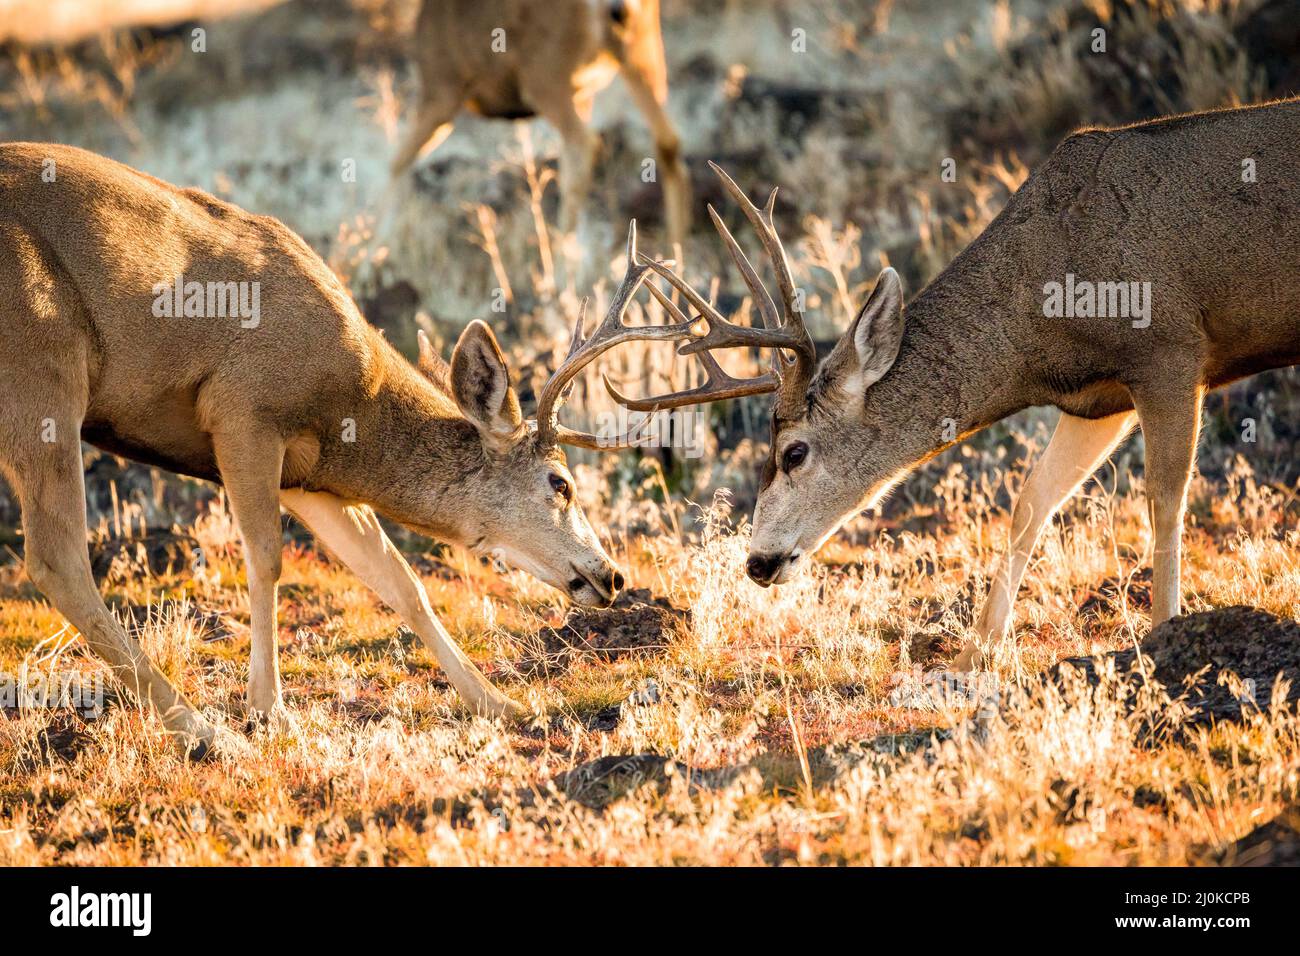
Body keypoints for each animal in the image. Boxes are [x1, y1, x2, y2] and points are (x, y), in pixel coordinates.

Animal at [0, 141, 696, 757]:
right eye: (560, 482)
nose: (612, 575)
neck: (354, 399)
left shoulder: (310, 477)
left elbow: (400, 580)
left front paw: (502, 704)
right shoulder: (242, 409)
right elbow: (268, 560)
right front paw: (269, 712)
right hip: (41, 370)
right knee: (57, 559)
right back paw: (204, 732)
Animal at [389, 0, 691, 249]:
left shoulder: (441, 88)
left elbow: (397, 165)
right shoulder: (584, 95)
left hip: (545, 77)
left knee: (583, 147)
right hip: (641, 52)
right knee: (668, 141)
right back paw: (675, 258)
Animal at [601, 98, 1300, 673]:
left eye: (793, 452)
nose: (757, 562)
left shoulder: (1169, 350)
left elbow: (1165, 496)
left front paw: (1163, 632)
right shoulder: (1098, 399)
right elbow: (1031, 501)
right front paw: (971, 654)